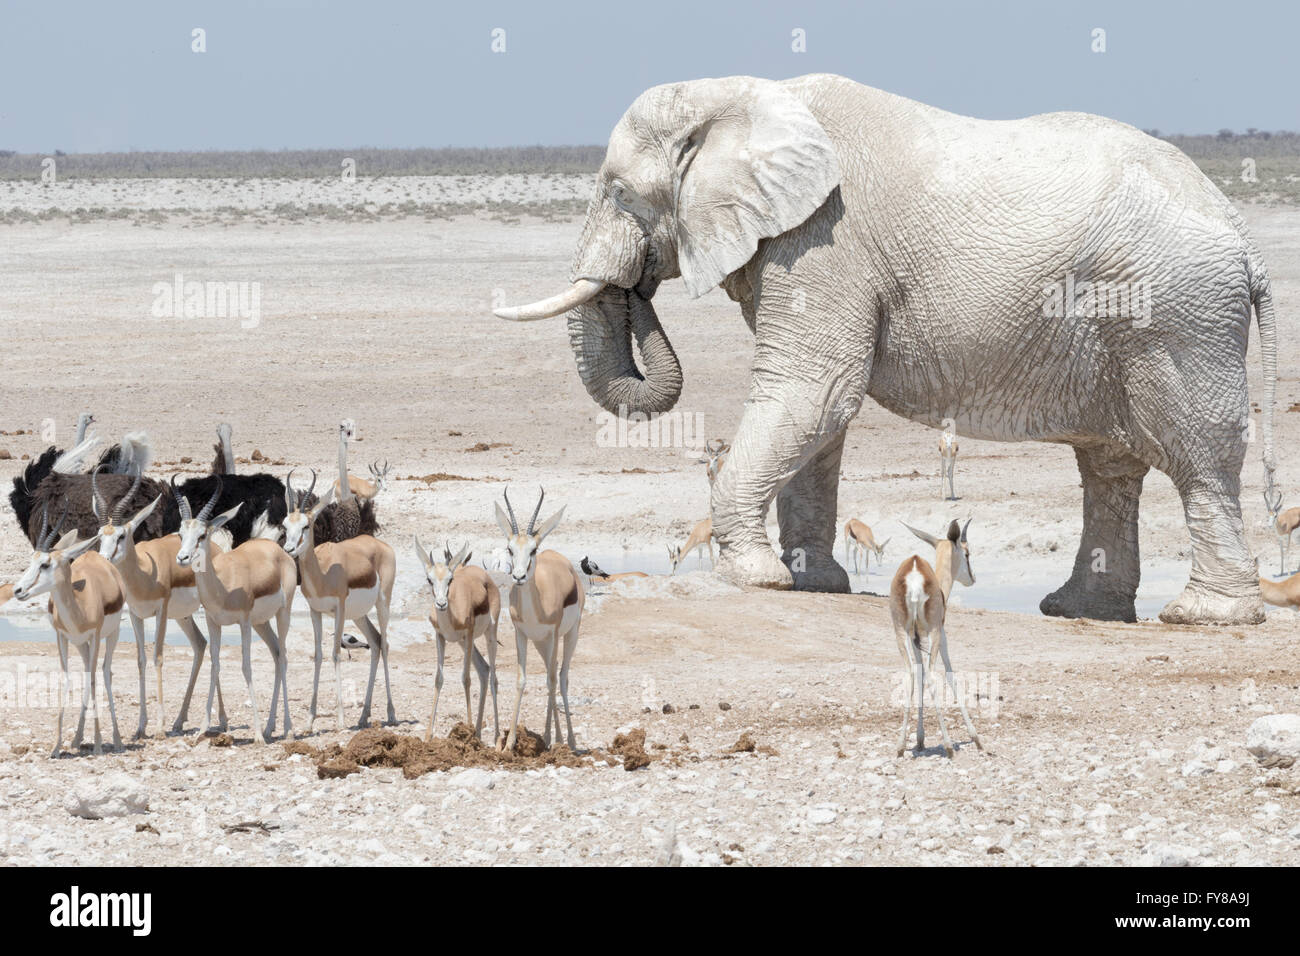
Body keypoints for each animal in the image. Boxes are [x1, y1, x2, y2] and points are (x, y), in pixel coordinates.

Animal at [494, 73, 1279, 626]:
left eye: (618, 192)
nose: (640, 284)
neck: (742, 95)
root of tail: (1245, 242)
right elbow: (819, 420)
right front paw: (811, 585)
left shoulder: (824, 242)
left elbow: (815, 391)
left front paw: (755, 579)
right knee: (1109, 464)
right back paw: (1080, 610)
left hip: (1176, 315)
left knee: (1195, 457)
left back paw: (1203, 616)